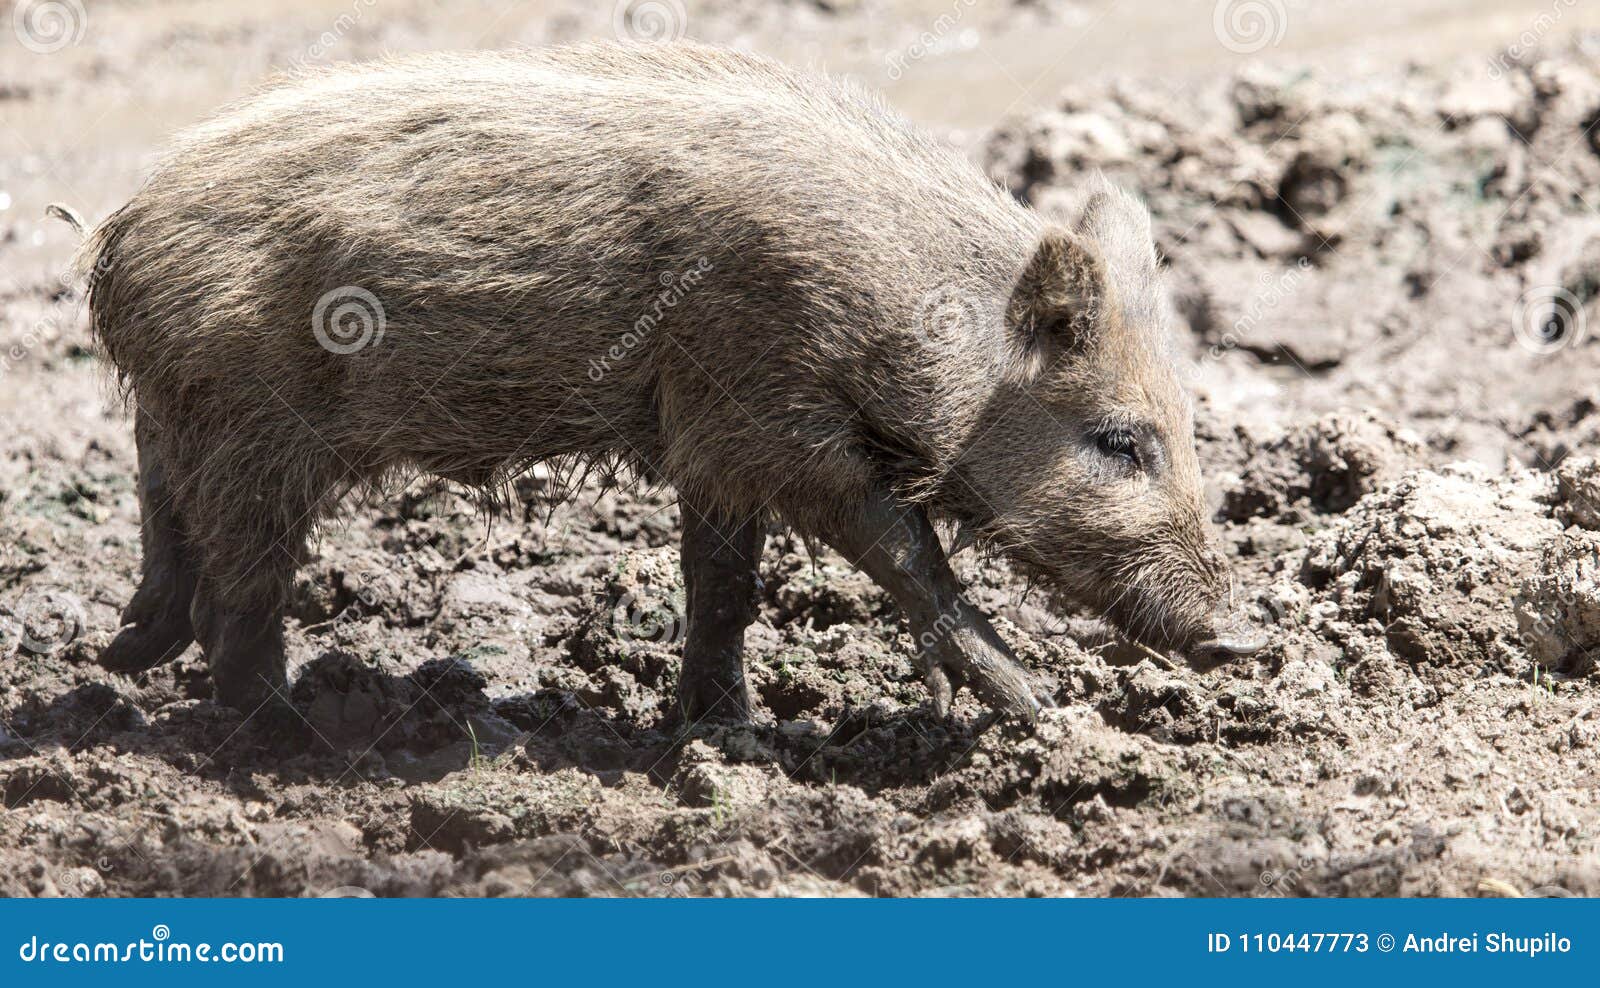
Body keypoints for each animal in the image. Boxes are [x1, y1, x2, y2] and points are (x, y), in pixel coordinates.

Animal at [81, 41, 1264, 723]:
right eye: (1119, 440)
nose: (1242, 637)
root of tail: (118, 242)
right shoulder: (771, 417)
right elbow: (910, 559)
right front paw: (1047, 716)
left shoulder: (716, 442)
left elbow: (723, 585)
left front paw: (714, 730)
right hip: (252, 429)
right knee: (243, 594)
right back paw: (284, 741)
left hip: (185, 423)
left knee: (175, 544)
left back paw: (130, 654)